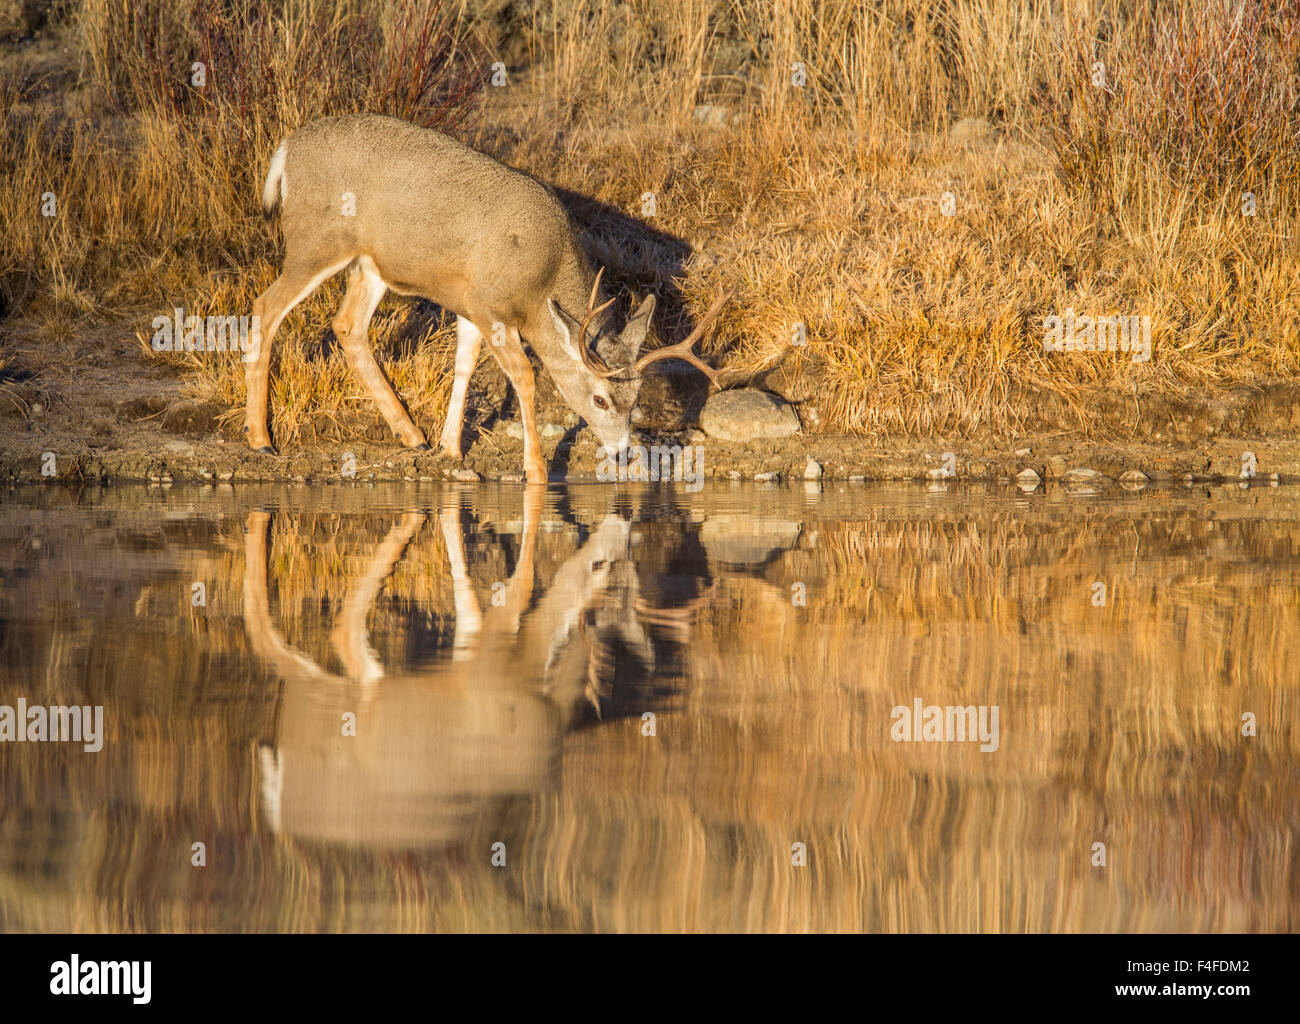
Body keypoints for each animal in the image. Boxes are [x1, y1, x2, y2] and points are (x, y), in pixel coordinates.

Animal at [247, 113, 731, 483]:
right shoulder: (489, 304)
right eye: (599, 400)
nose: (623, 451)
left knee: (348, 325)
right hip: (316, 242)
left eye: (636, 399)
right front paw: (536, 470)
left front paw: (449, 448)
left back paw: (412, 435)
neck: (541, 278)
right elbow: (524, 377)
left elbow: (463, 364)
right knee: (265, 307)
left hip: (370, 263)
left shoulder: (468, 304)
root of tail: (285, 149)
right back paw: (261, 441)